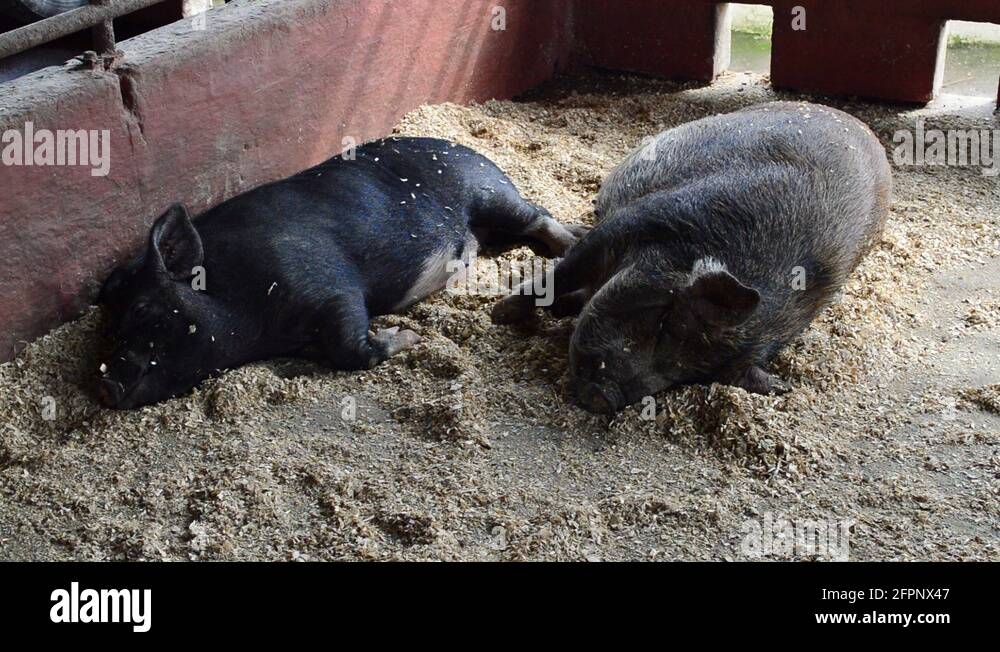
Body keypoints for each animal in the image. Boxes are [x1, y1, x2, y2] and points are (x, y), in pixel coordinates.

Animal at [97, 137, 585, 409]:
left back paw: (572, 242)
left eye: (142, 309)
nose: (103, 384)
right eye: (109, 325)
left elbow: (352, 347)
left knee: (537, 215)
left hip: (489, 194)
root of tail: (470, 150)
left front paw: (411, 336)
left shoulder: (331, 286)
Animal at [492, 102, 892, 413]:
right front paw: (500, 314)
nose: (604, 398)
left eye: (689, 376)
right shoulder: (639, 220)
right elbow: (562, 273)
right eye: (664, 321)